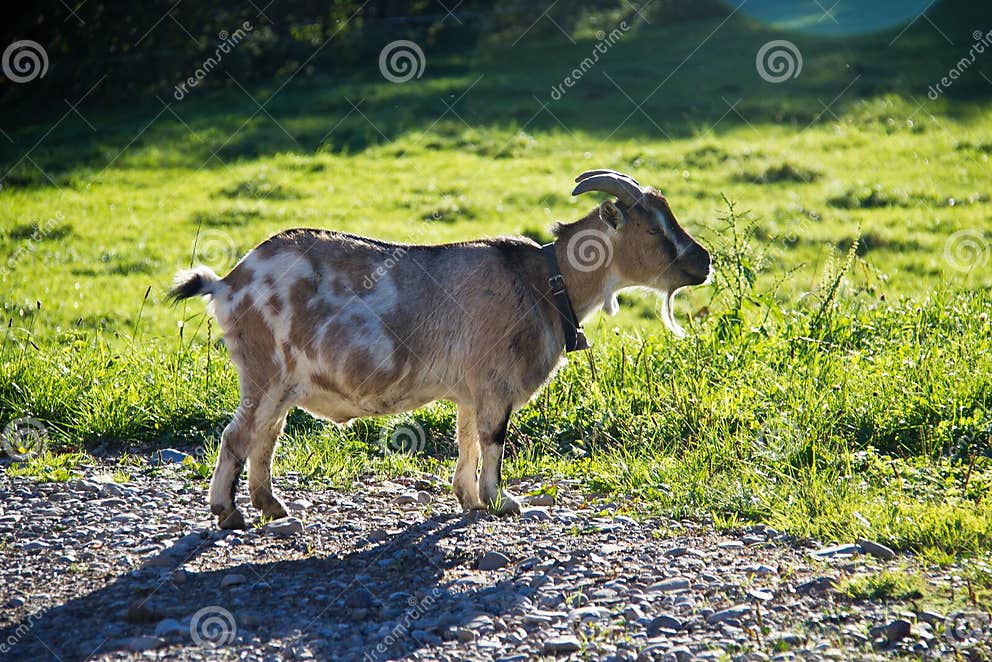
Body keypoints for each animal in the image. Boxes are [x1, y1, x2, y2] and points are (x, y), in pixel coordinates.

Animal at [170, 169, 712, 529]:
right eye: (655, 229)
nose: (704, 262)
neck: (545, 282)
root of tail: (229, 282)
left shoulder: (470, 389)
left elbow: (467, 437)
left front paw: (469, 500)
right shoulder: (495, 383)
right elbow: (492, 440)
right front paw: (503, 501)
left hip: (280, 384)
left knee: (265, 437)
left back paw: (271, 506)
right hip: (265, 372)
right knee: (238, 436)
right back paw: (229, 514)